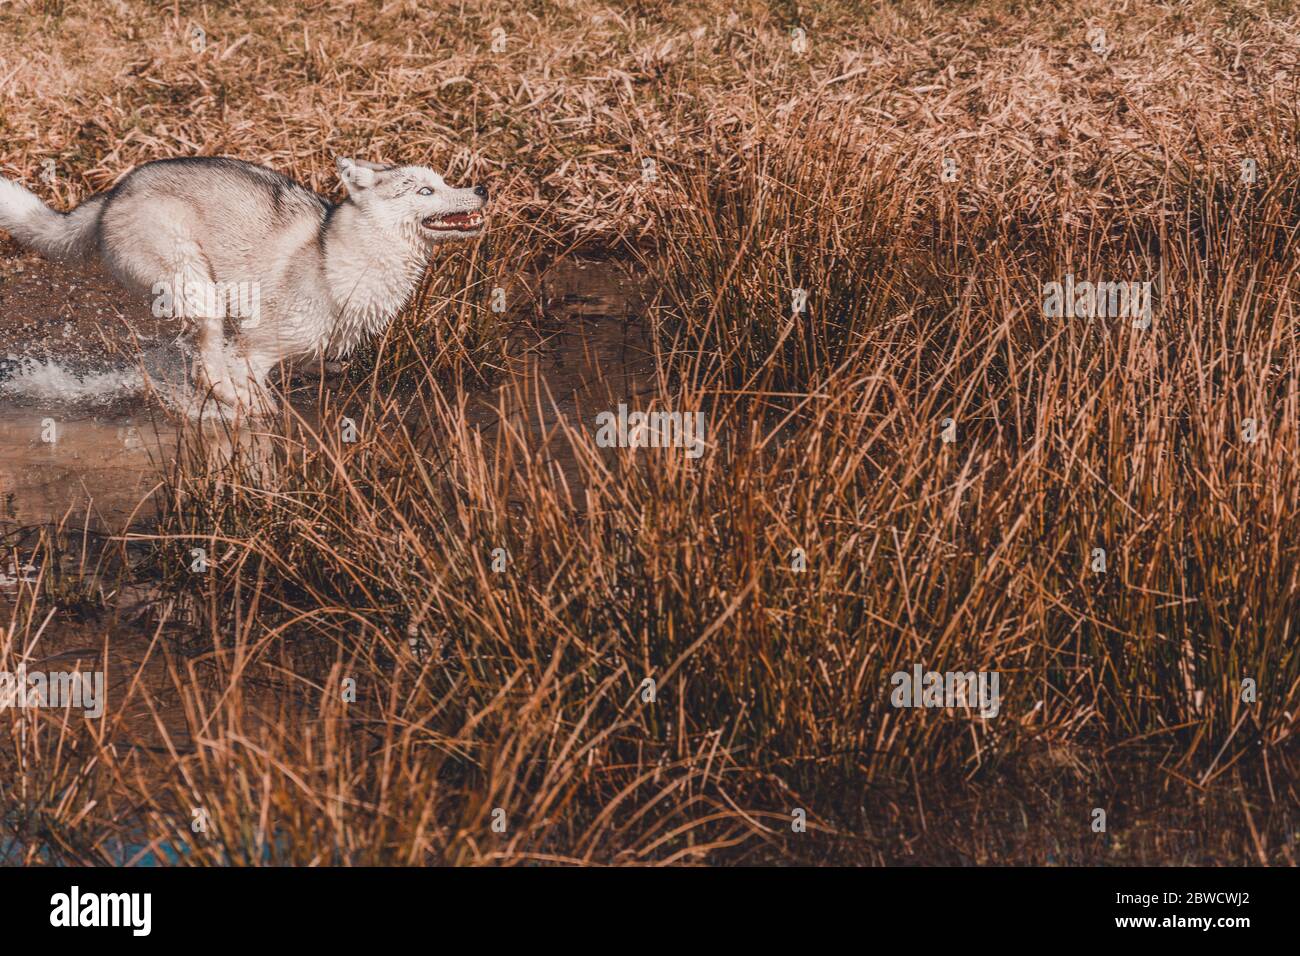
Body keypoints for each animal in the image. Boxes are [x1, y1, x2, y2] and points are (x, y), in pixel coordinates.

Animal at [0, 157, 489, 411]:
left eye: (444, 181)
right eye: (425, 191)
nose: (482, 189)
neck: (338, 256)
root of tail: (113, 194)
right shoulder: (255, 349)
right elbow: (242, 389)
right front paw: (253, 418)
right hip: (200, 290)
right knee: (205, 370)